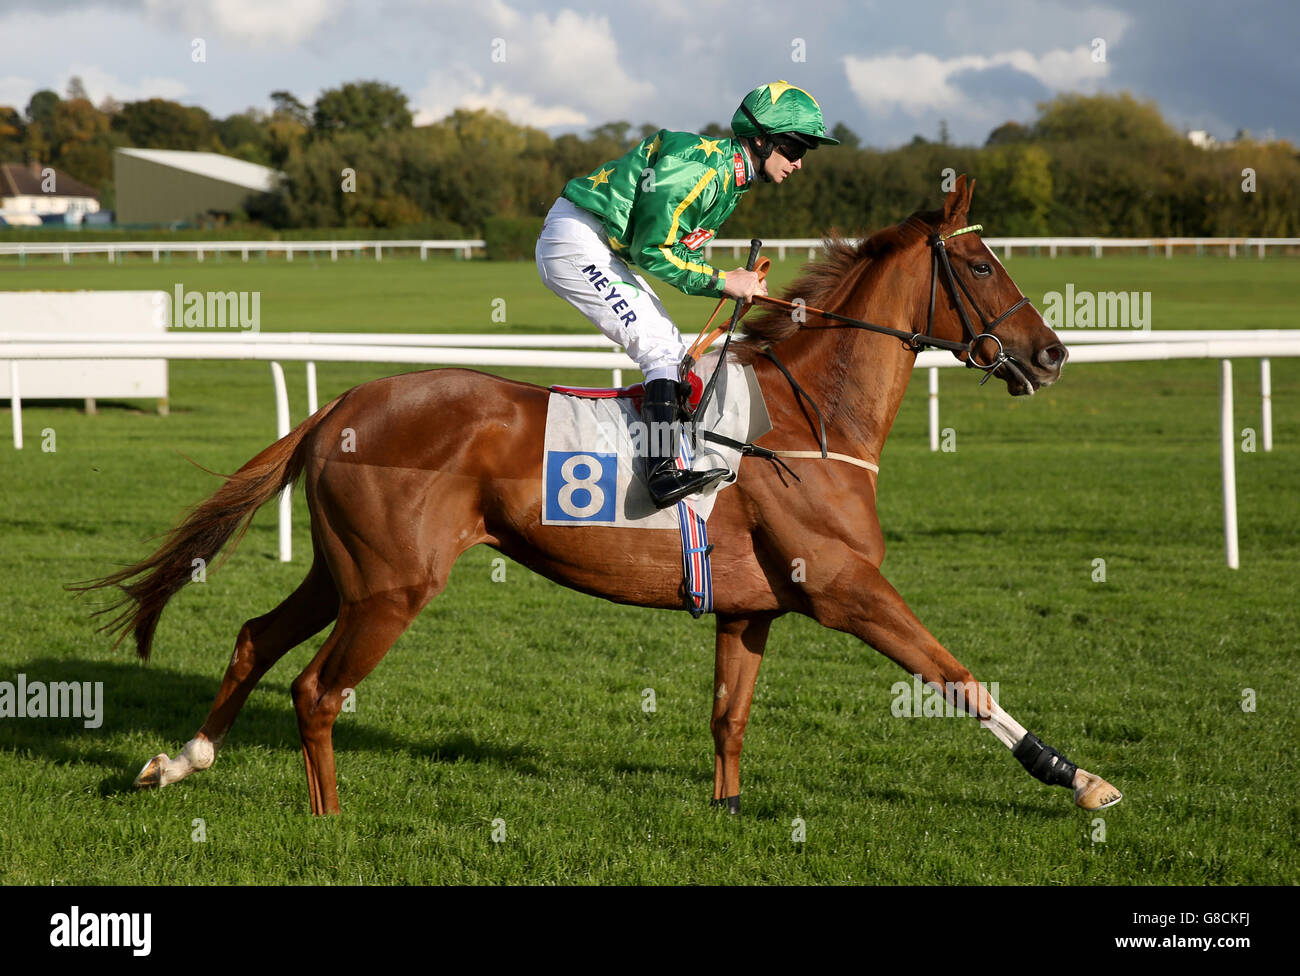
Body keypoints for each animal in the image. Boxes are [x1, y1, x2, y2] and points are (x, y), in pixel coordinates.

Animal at [79, 176, 1121, 816]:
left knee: (256, 639)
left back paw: (180, 761)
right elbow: (959, 677)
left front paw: (727, 808)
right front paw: (1079, 779)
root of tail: (341, 400)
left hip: (347, 574)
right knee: (315, 688)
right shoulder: (845, 588)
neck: (807, 417)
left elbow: (728, 715)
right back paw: (328, 818)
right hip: (391, 587)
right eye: (981, 265)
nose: (1053, 355)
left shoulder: (752, 607)